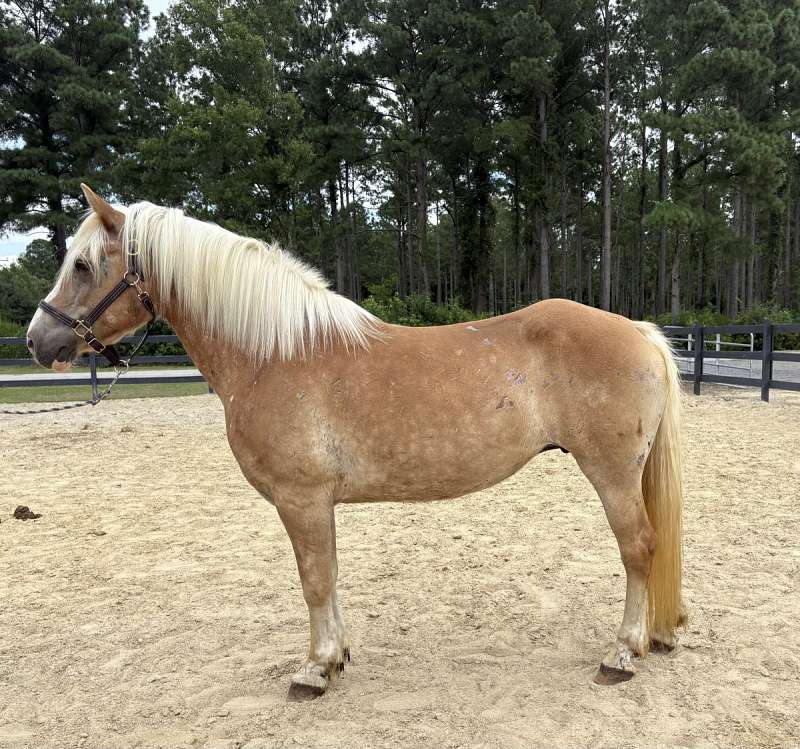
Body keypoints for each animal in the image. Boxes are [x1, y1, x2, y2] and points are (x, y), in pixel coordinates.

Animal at [26, 185, 686, 700]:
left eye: (83, 265)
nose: (37, 341)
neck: (275, 355)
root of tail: (640, 332)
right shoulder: (317, 506)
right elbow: (329, 575)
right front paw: (337, 657)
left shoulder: (301, 500)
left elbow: (314, 579)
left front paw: (314, 671)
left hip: (612, 473)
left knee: (638, 549)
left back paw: (621, 654)